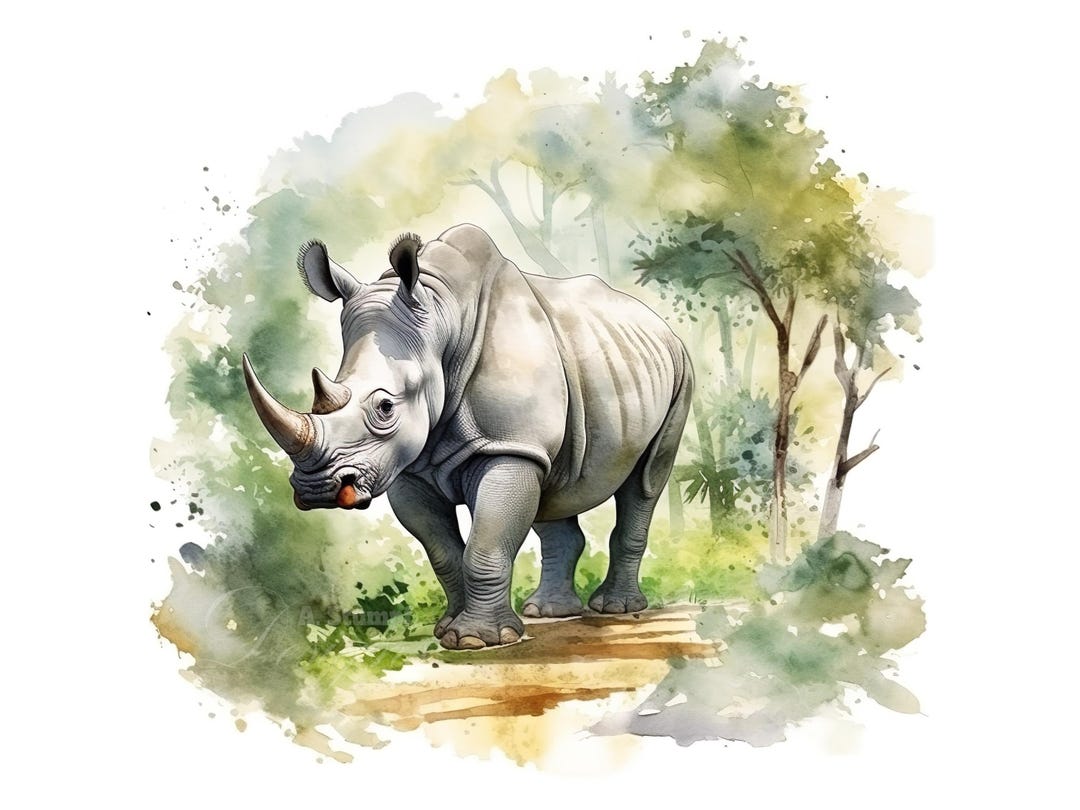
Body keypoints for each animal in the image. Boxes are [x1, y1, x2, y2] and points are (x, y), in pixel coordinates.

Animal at [243, 224, 692, 649]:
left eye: (386, 407)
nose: (317, 489)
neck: (442, 318)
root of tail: (660, 324)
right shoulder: (408, 466)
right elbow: (443, 552)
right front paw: (448, 630)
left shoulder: (507, 447)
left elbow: (486, 545)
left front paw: (478, 640)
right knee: (554, 487)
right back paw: (548, 613)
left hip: (679, 373)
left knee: (646, 480)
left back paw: (615, 608)